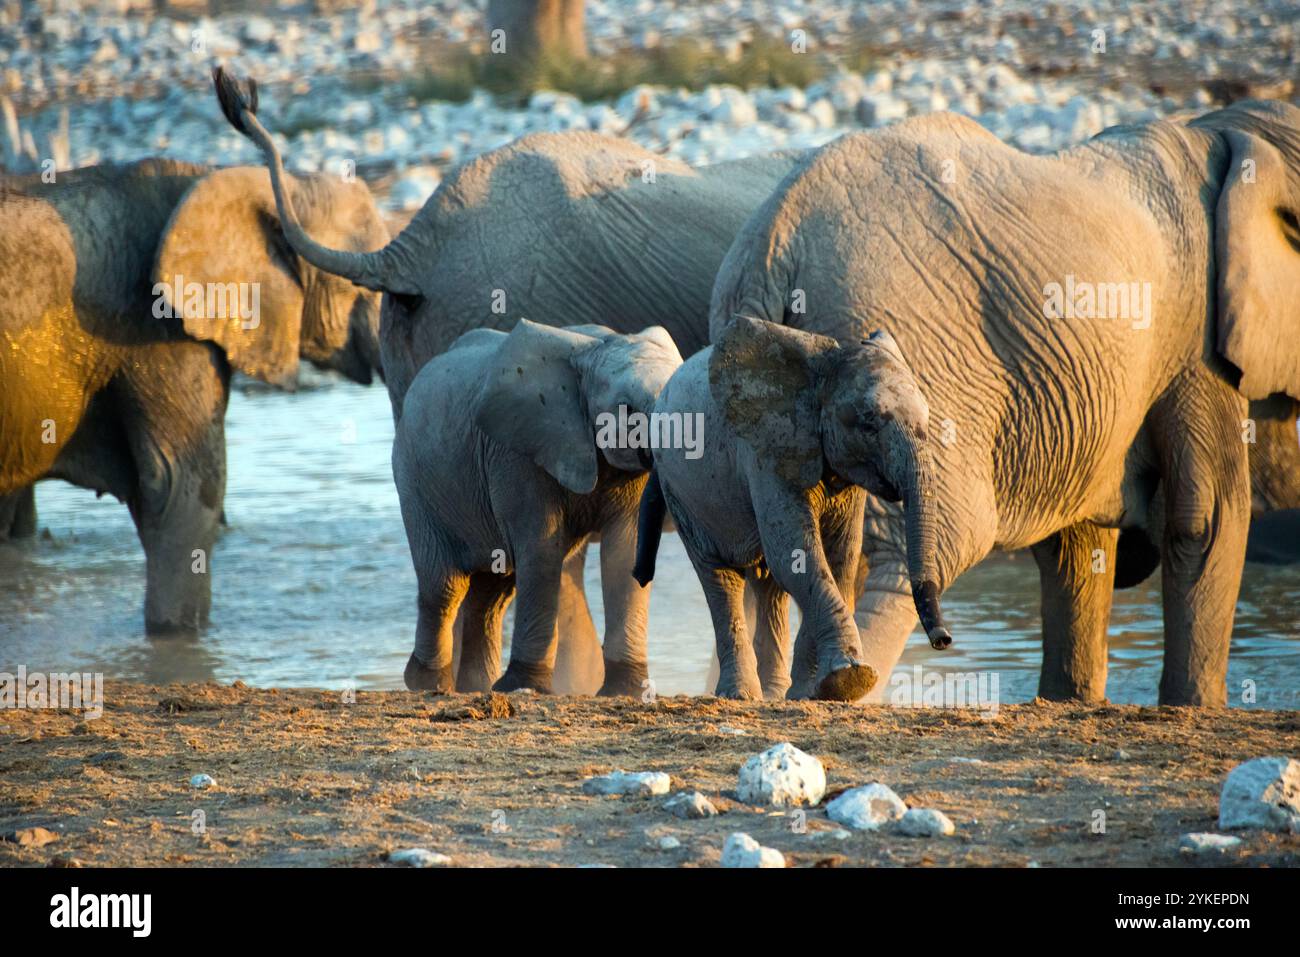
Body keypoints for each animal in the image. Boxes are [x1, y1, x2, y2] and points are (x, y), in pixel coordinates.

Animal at [393, 319, 683, 695]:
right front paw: (525, 685)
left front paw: (627, 690)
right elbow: (541, 551)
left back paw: (479, 686)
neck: (598, 347)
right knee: (445, 585)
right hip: (416, 481)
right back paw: (429, 683)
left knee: (493, 593)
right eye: (627, 409)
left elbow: (622, 552)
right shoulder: (517, 452)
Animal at [635, 317, 949, 702]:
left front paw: (813, 691)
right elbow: (799, 556)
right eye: (868, 422)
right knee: (719, 578)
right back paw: (741, 694)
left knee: (769, 585)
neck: (821, 371)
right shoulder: (767, 451)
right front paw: (850, 679)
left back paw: (774, 692)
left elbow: (839, 560)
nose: (943, 640)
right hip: (680, 490)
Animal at [708, 98, 1300, 706]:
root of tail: (771, 248)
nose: (947, 643)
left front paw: (1070, 699)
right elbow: (1206, 518)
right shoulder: (1196, 340)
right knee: (924, 548)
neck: (1220, 134)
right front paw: (1193, 704)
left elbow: (1076, 543)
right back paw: (839, 686)